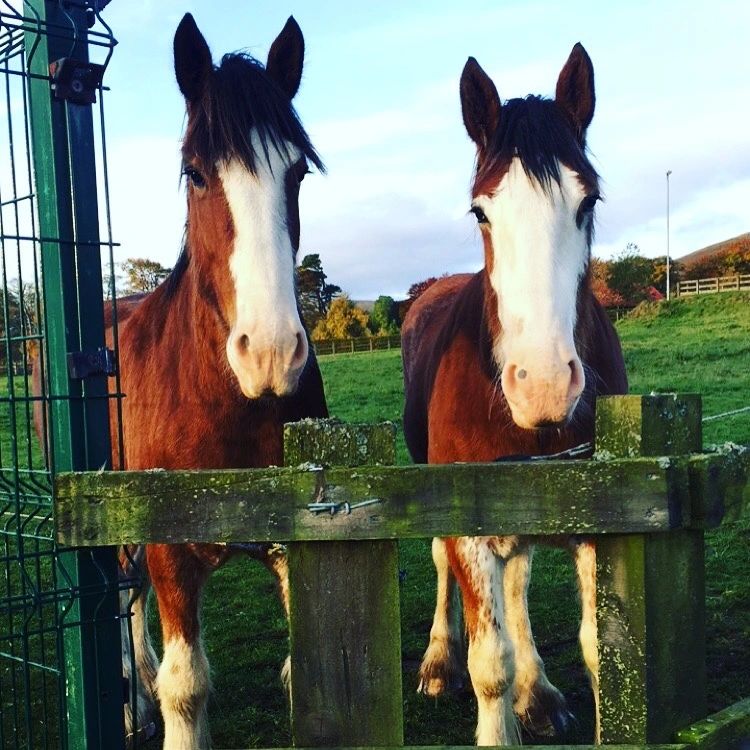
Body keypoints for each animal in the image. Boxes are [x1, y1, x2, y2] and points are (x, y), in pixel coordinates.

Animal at [94, 15, 327, 749]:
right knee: (121, 594)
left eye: (297, 171)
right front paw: (157, 703)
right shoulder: (169, 549)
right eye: (195, 173)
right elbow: (186, 687)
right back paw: (130, 701)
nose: (273, 354)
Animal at [402, 44, 627, 745]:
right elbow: (488, 663)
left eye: (588, 202)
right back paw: (438, 661)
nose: (545, 383)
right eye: (481, 211)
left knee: (519, 577)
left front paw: (537, 690)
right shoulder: (468, 529)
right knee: (444, 567)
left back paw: (538, 692)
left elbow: (599, 650)